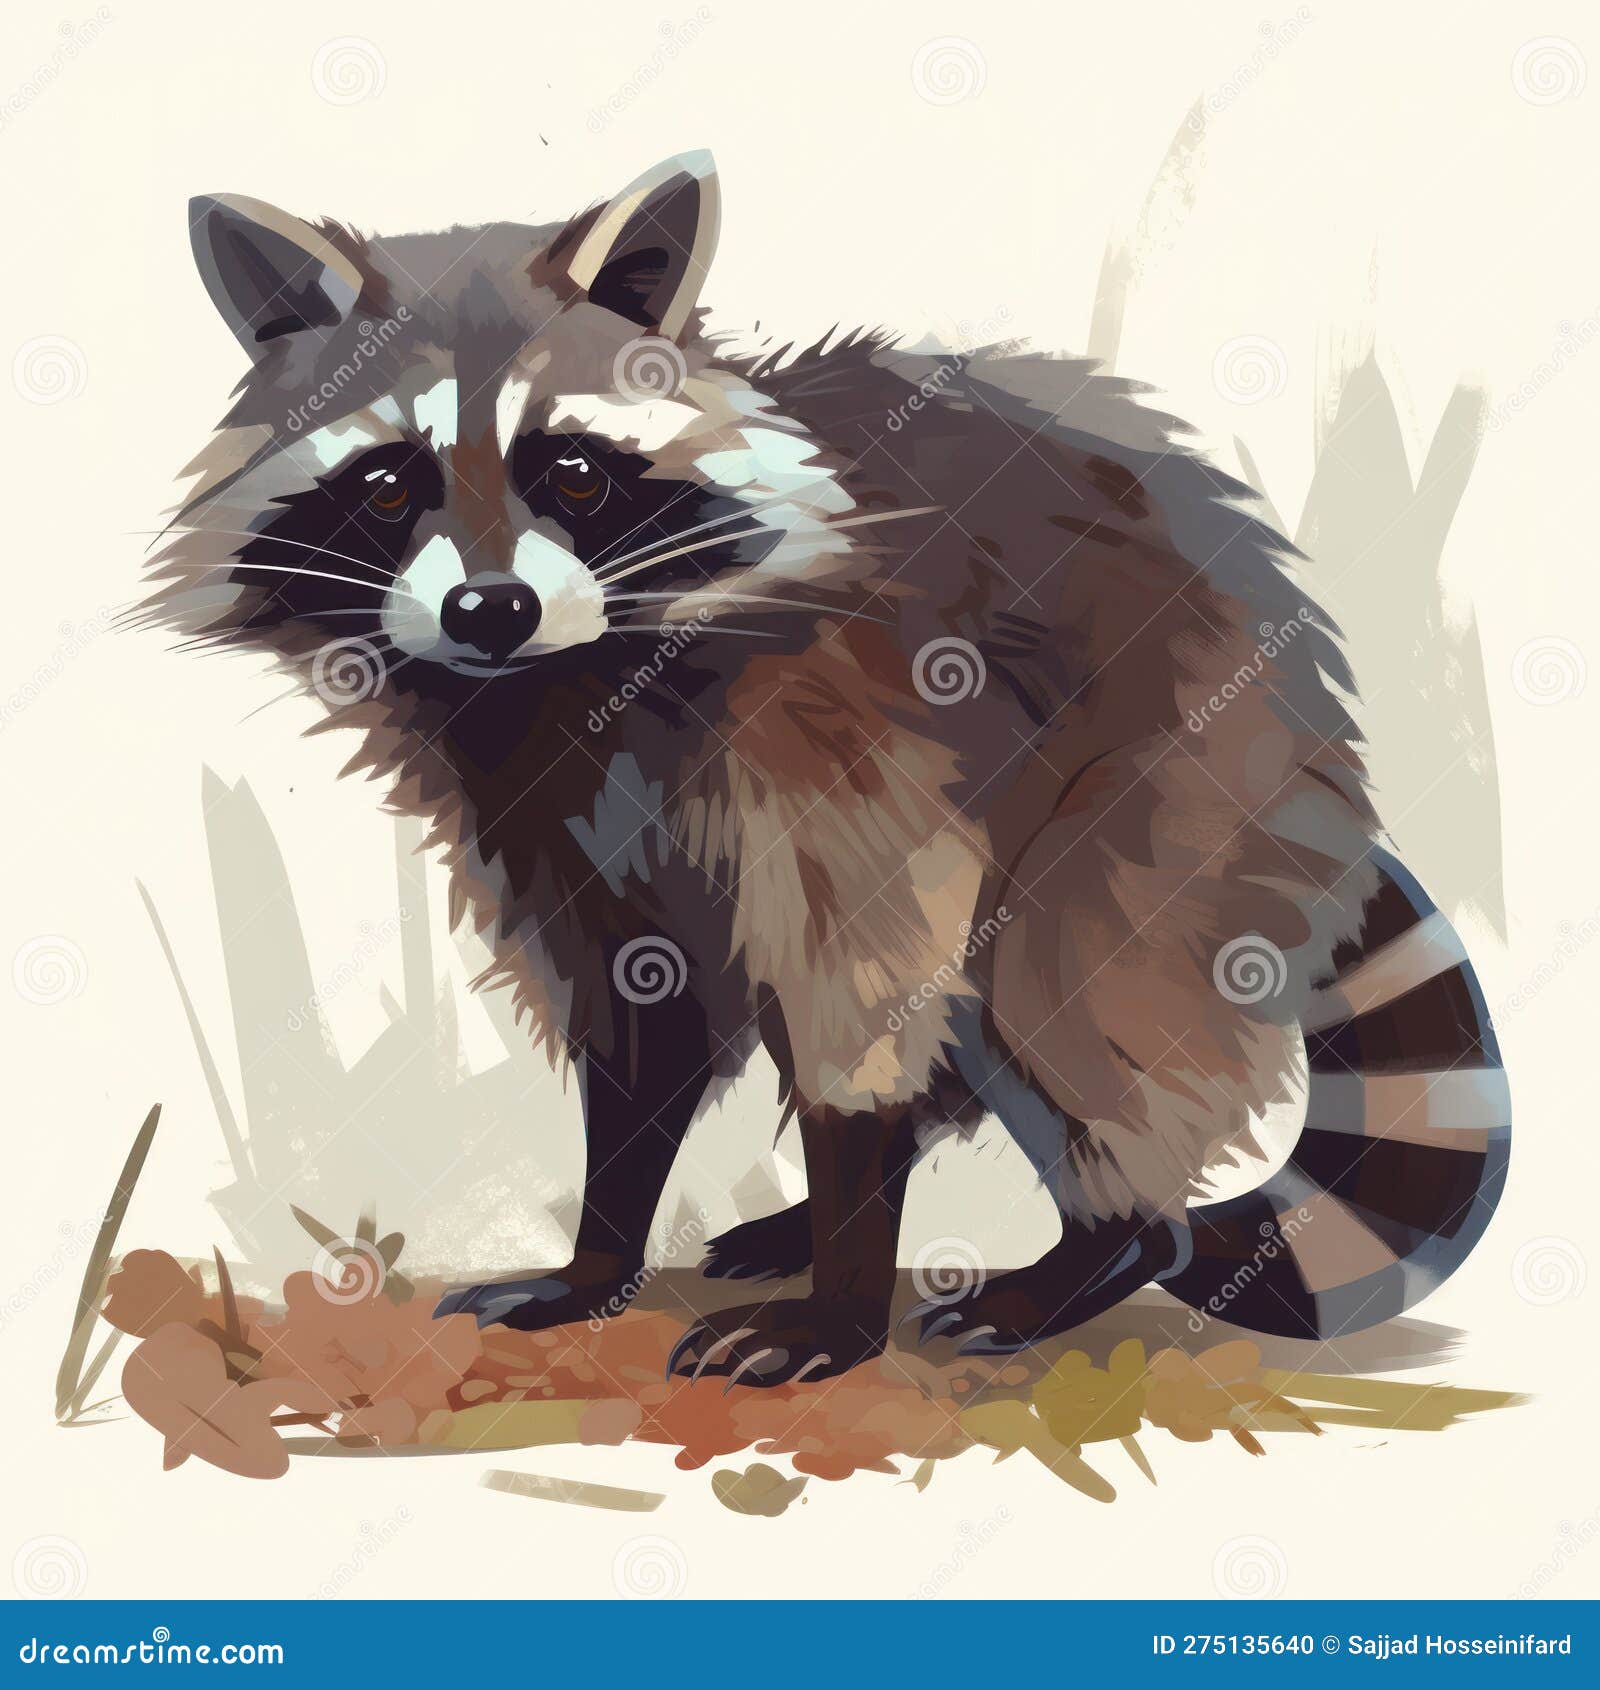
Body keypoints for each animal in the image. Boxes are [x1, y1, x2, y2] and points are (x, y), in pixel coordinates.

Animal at [143, 152, 1509, 1384]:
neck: (569, 679)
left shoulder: (845, 726)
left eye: (572, 469)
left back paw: (1107, 1239)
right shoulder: (535, 809)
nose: (490, 609)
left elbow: (865, 981)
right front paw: (603, 1246)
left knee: (1059, 988)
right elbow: (632, 1015)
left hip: (1172, 774)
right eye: (387, 485)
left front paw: (848, 1291)